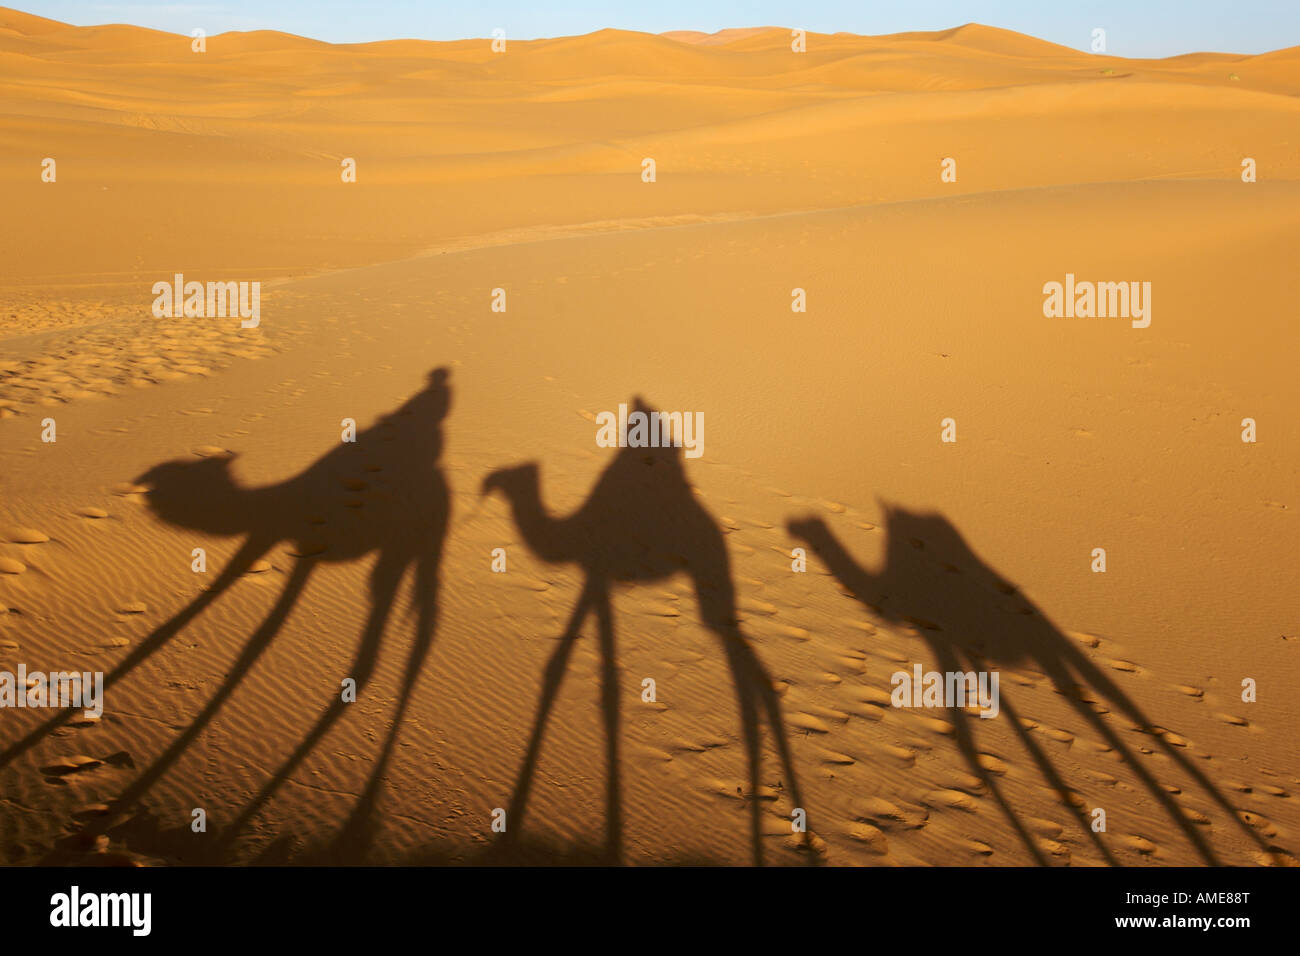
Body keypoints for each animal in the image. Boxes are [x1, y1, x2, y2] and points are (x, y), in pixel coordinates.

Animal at [482, 398, 808, 865]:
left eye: (511, 475)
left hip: (710, 576)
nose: (485, 483)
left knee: (749, 673)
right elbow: (596, 676)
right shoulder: (597, 580)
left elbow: (566, 666)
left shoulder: (595, 571)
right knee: (751, 677)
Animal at [788, 508, 1277, 866]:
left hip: (1050, 640)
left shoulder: (940, 639)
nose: (793, 532)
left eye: (803, 523)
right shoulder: (953, 644)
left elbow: (967, 740)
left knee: (1114, 702)